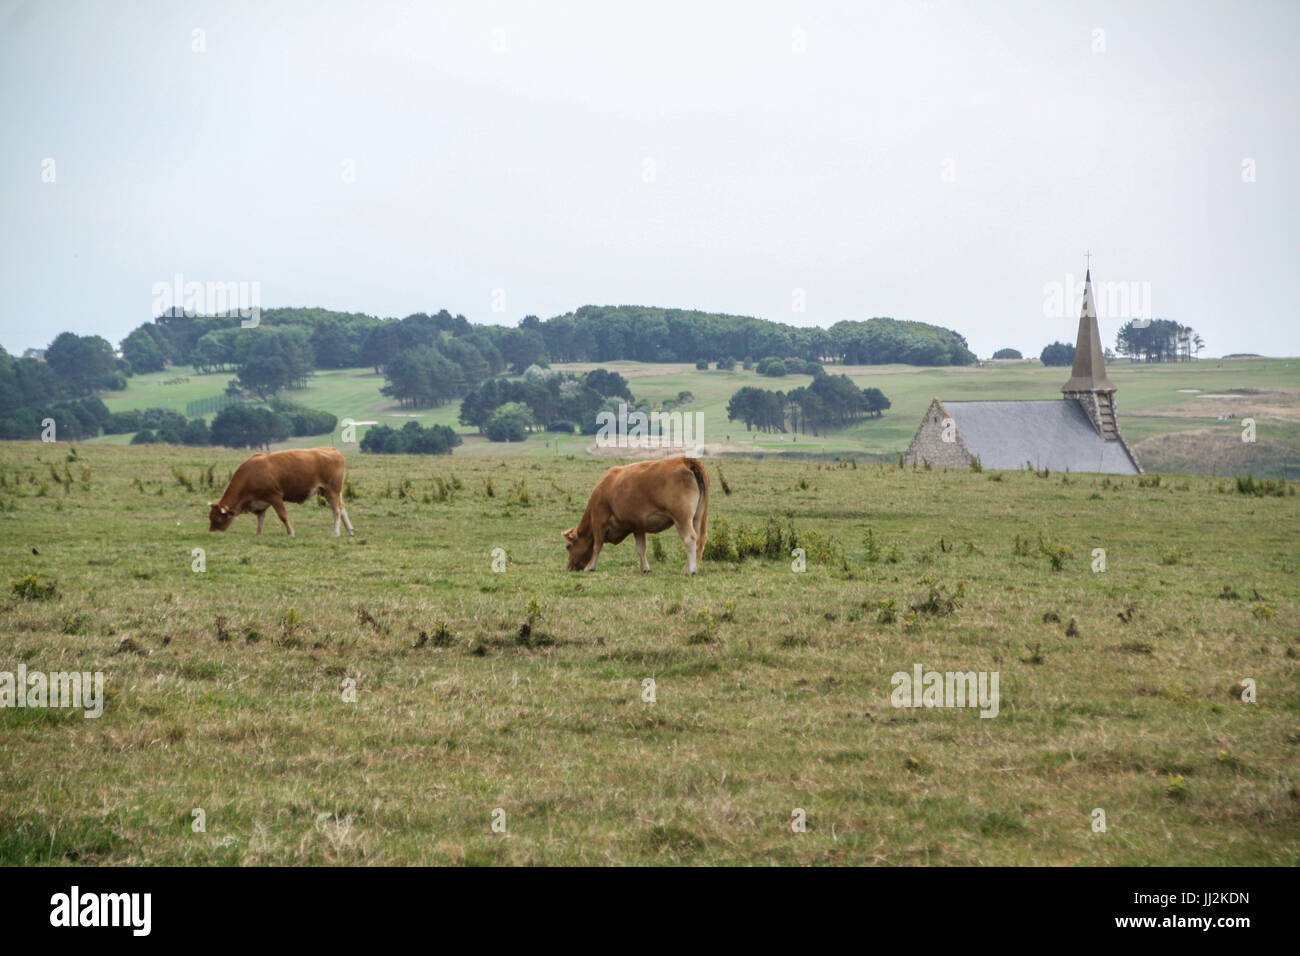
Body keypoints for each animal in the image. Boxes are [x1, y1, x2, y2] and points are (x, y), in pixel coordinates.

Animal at [208, 446, 354, 537]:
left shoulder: (275, 497)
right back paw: (349, 530)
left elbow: (283, 516)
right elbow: (260, 518)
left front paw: (291, 533)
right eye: (210, 517)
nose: (211, 532)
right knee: (342, 508)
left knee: (336, 510)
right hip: (330, 492)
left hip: (332, 490)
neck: (251, 473)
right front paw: (258, 533)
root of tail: (331, 449)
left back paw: (336, 532)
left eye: (218, 519)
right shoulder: (261, 502)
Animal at [563, 456, 709, 575]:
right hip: (696, 518)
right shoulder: (638, 526)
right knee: (697, 540)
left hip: (682, 518)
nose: (569, 567)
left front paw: (591, 566)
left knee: (690, 539)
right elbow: (641, 548)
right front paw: (645, 569)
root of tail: (685, 460)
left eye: (568, 546)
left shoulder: (599, 520)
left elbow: (597, 545)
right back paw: (690, 568)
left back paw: (690, 570)